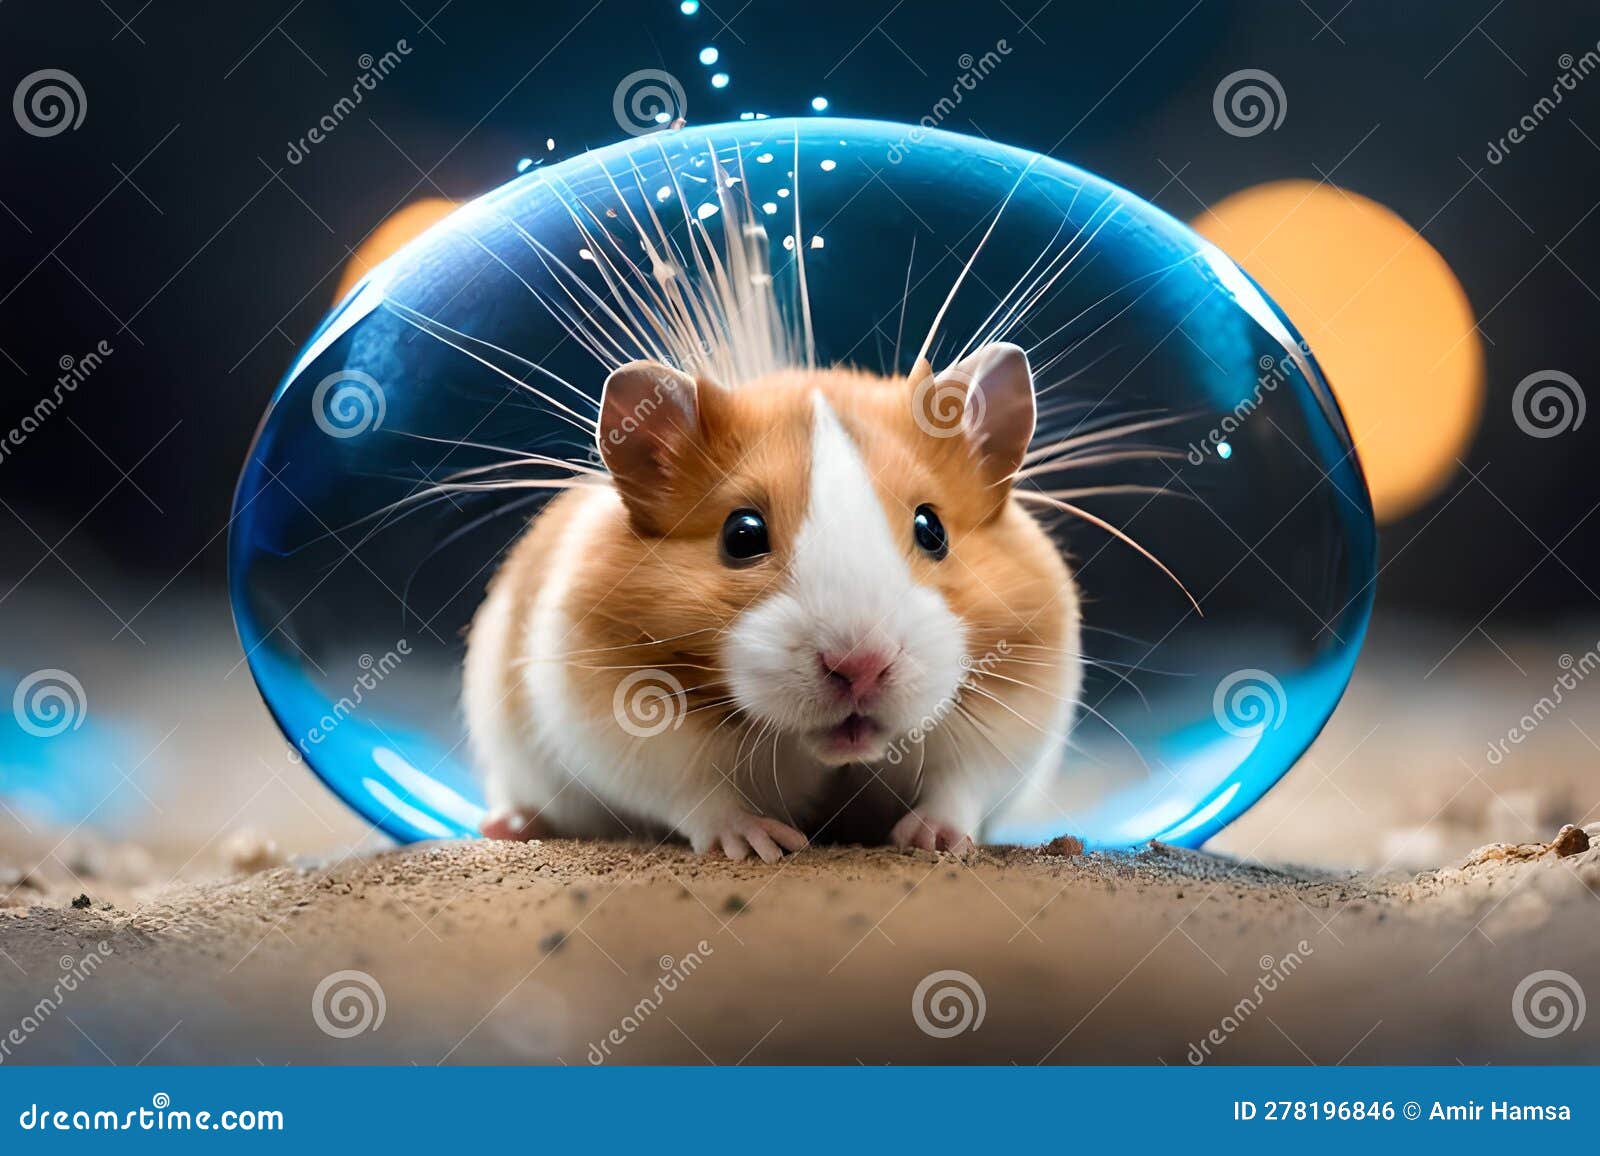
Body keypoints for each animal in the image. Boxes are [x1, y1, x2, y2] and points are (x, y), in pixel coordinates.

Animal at [462, 341, 1081, 860]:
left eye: (933, 530)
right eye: (742, 536)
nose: (860, 668)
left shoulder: (1014, 720)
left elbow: (960, 786)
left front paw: (933, 842)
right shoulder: (615, 729)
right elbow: (698, 795)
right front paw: (765, 845)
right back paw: (504, 826)